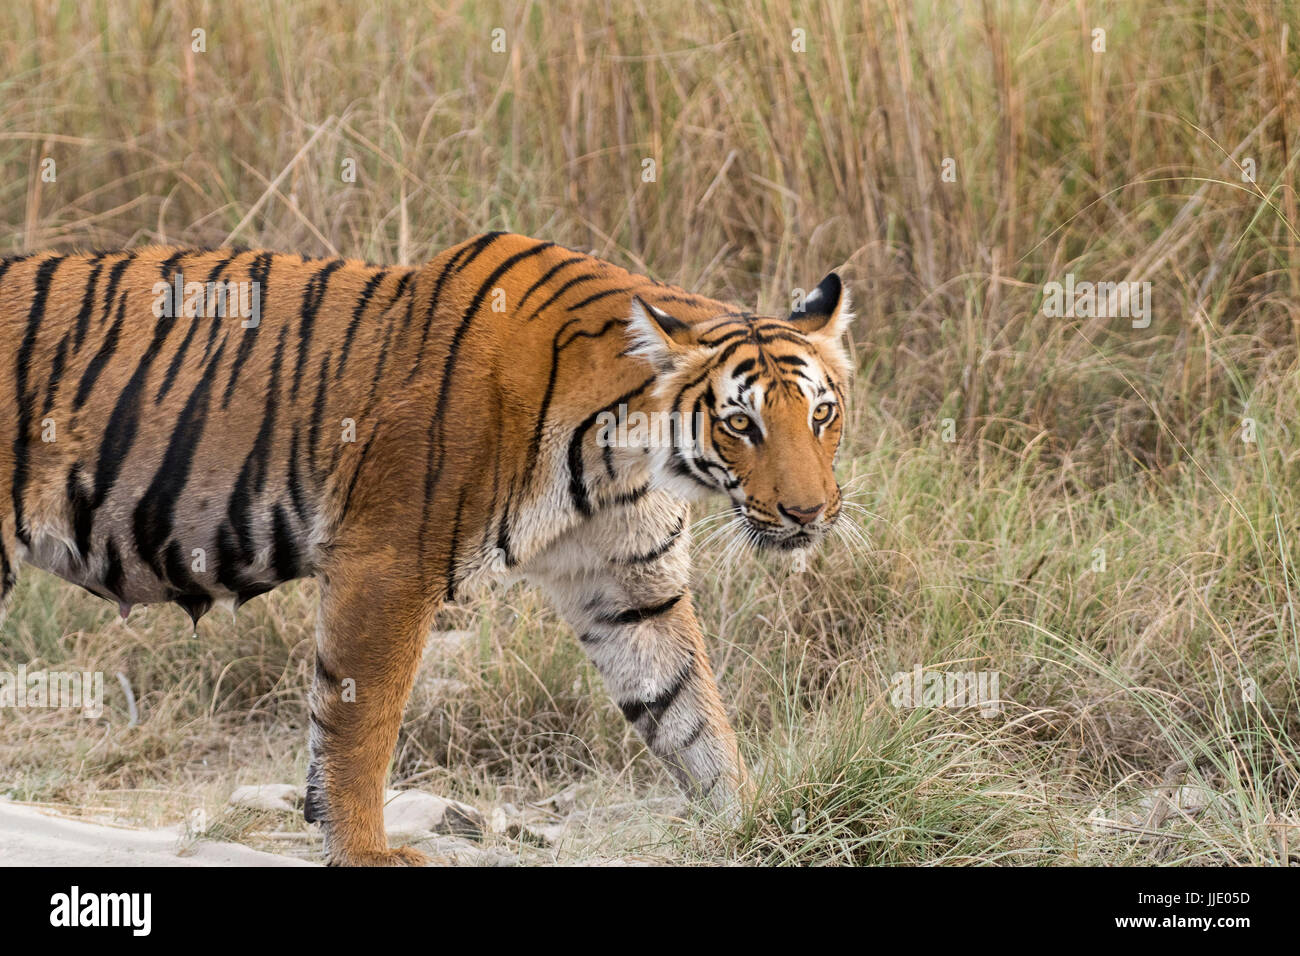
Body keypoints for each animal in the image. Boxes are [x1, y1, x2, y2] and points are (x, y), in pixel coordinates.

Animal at [0, 232, 851, 865]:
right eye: (740, 423)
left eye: (822, 414)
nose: (810, 512)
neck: (625, 451)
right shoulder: (388, 565)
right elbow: (359, 725)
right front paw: (366, 852)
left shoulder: (630, 589)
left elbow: (693, 720)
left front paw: (754, 827)